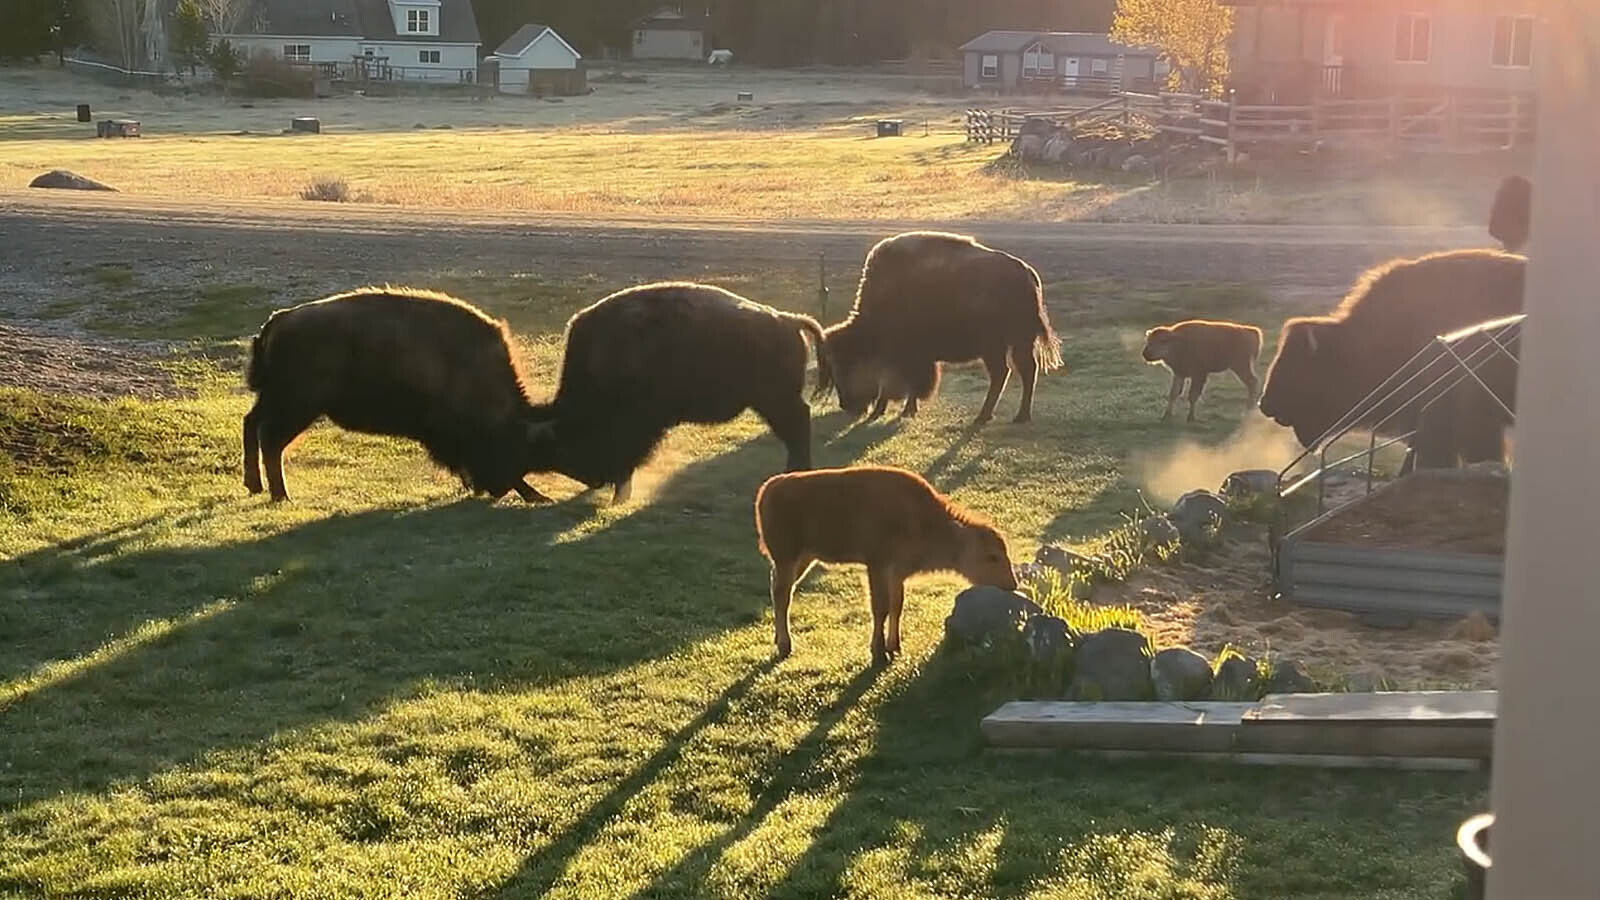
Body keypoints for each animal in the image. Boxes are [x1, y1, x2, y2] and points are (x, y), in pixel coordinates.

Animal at [243, 287, 550, 503]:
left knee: (252, 424)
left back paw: (256, 486)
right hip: (297, 407)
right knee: (270, 439)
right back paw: (280, 495)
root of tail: (279, 319)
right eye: (509, 444)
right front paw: (536, 495)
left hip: (277, 401)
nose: (496, 489)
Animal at [522, 282, 830, 503]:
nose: (596, 479)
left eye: (571, 445)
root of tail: (787, 319)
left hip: (776, 400)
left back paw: (795, 471)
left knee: (797, 427)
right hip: (770, 401)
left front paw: (620, 495)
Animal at [820, 232, 1062, 425]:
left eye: (846, 364)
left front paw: (898, 411)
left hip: (1000, 346)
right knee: (1021, 372)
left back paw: (993, 416)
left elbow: (903, 384)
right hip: (1014, 344)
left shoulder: (909, 358)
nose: (846, 405)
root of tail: (1027, 273)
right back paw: (1012, 415)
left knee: (1007, 373)